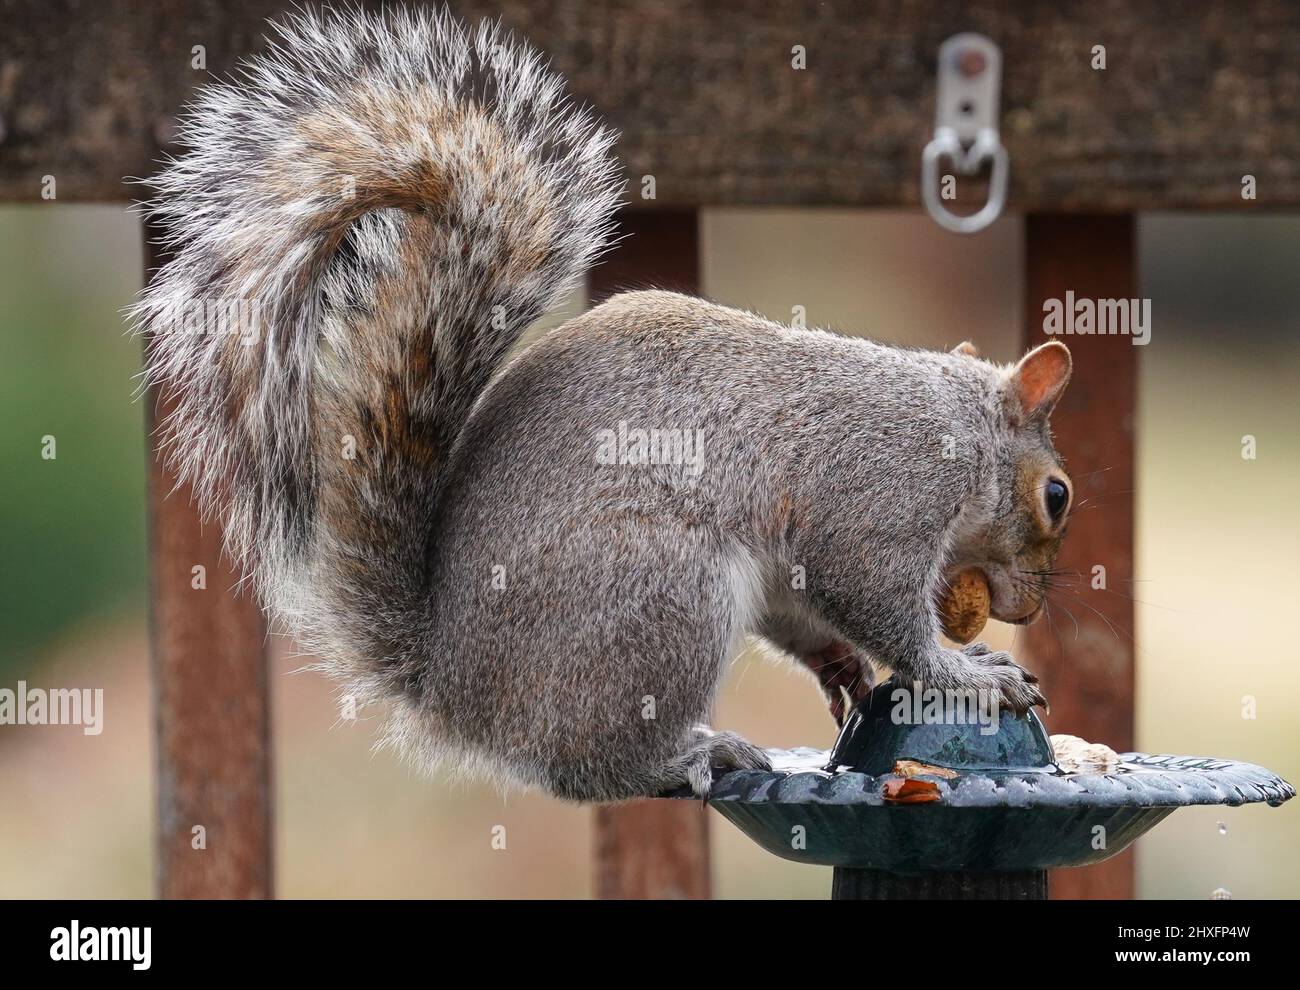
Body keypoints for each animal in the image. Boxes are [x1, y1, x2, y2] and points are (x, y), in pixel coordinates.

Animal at [134, 6, 1071, 802]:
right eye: (1056, 497)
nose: (1029, 608)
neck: (955, 434)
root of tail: (453, 691)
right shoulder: (877, 502)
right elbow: (883, 607)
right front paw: (972, 675)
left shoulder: (797, 560)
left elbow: (803, 613)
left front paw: (841, 664)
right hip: (661, 594)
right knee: (587, 771)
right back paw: (691, 755)